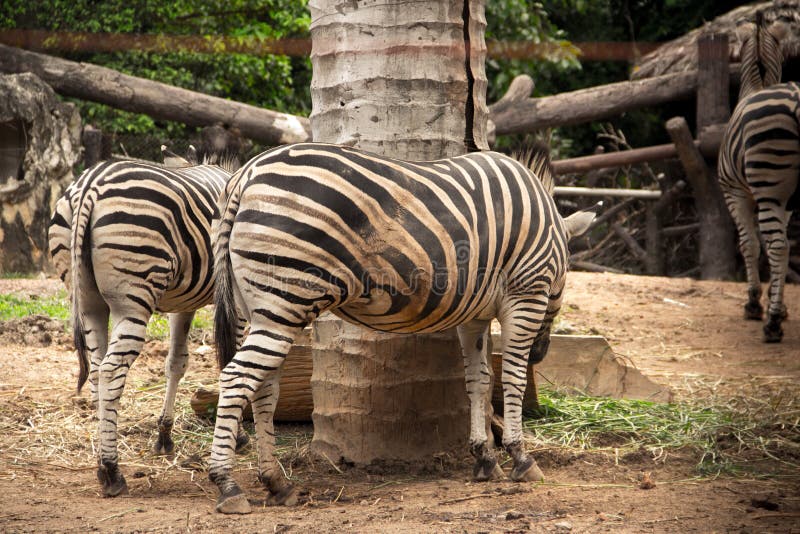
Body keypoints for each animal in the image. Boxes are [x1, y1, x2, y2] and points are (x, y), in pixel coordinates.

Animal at [49, 156, 246, 497]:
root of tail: (90, 184)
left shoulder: (184, 303)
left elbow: (176, 364)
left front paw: (164, 435)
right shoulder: (233, 298)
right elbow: (229, 360)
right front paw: (242, 434)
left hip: (85, 299)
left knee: (97, 371)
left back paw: (100, 461)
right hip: (133, 298)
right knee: (112, 369)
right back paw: (112, 471)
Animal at [208, 142, 598, 514]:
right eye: (563, 280)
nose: (541, 354)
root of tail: (246, 174)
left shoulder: (473, 315)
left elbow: (479, 382)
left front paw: (484, 457)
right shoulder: (526, 292)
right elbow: (513, 379)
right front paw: (520, 456)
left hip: (261, 307)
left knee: (262, 388)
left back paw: (277, 483)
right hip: (285, 299)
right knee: (236, 379)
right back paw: (228, 485)